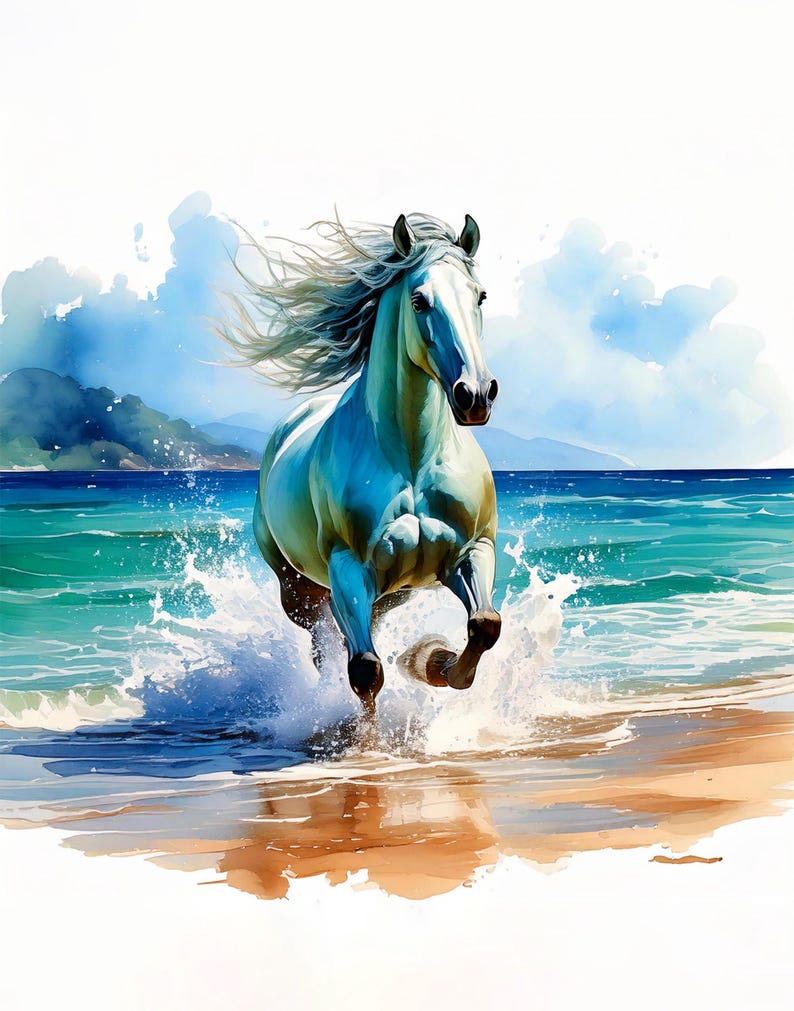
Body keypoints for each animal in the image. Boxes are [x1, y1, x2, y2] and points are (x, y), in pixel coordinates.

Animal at [222, 212, 501, 721]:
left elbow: (485, 625)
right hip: (300, 589)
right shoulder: (349, 566)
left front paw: (430, 660)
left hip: (395, 590)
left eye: (480, 296)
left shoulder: (472, 550)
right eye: (419, 300)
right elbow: (366, 672)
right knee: (327, 644)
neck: (412, 458)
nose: (475, 394)